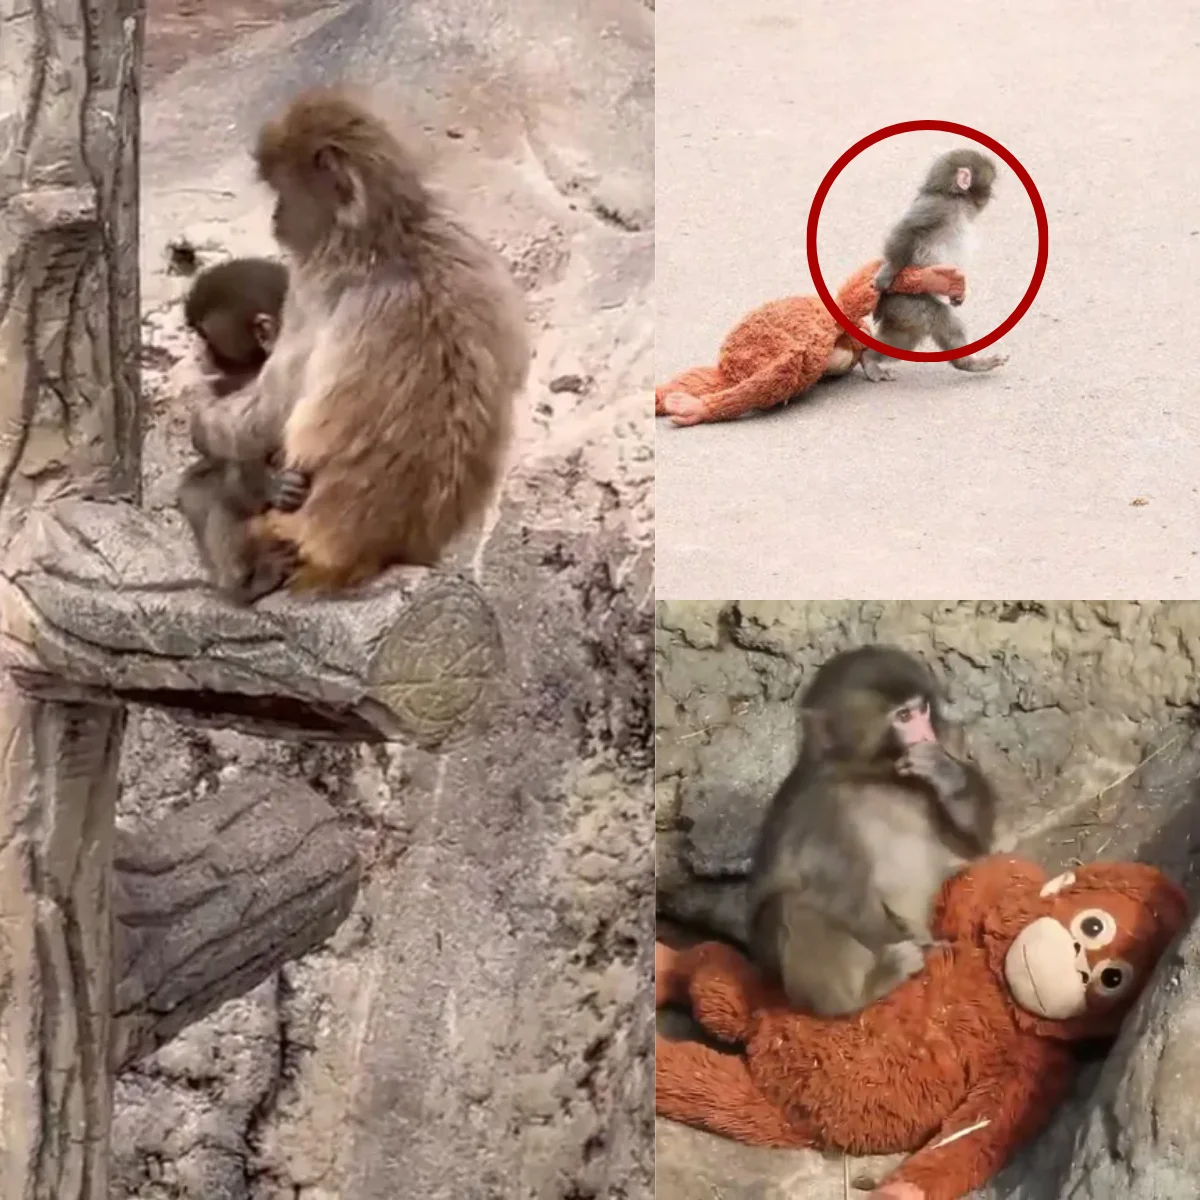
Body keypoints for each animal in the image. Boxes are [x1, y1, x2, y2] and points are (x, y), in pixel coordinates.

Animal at [746, 645, 997, 1016]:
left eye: (921, 709)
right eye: (903, 717)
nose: (927, 734)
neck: (874, 776)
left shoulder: (949, 742)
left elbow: (976, 847)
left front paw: (946, 774)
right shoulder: (822, 810)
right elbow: (849, 901)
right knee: (793, 905)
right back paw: (868, 990)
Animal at [861, 148, 1009, 383]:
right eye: (990, 185)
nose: (991, 195)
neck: (953, 198)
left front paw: (958, 294)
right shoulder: (937, 207)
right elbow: (907, 229)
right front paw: (887, 272)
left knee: (903, 338)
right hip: (906, 301)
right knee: (938, 317)